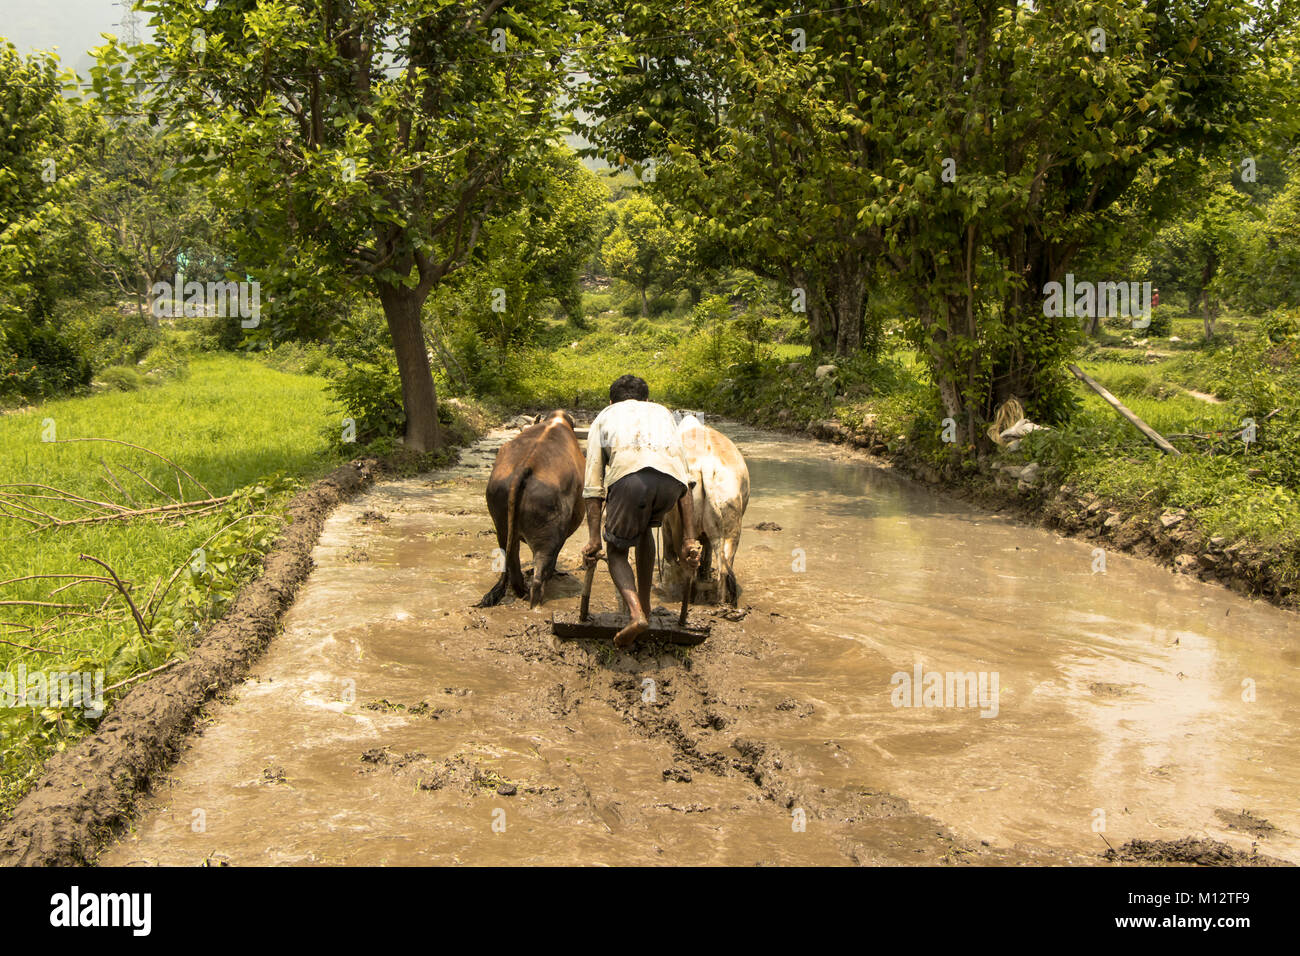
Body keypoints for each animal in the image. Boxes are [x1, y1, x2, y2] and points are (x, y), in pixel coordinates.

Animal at [478, 409, 585, 608]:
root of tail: (525, 466)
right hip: (549, 517)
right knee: (542, 564)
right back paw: (534, 599)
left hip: (499, 511)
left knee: (510, 555)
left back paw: (521, 590)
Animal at [661, 414, 750, 605]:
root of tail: (707, 466)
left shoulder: (667, 524)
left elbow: (669, 554)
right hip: (731, 522)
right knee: (724, 567)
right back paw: (721, 602)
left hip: (680, 527)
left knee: (686, 563)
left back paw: (690, 595)